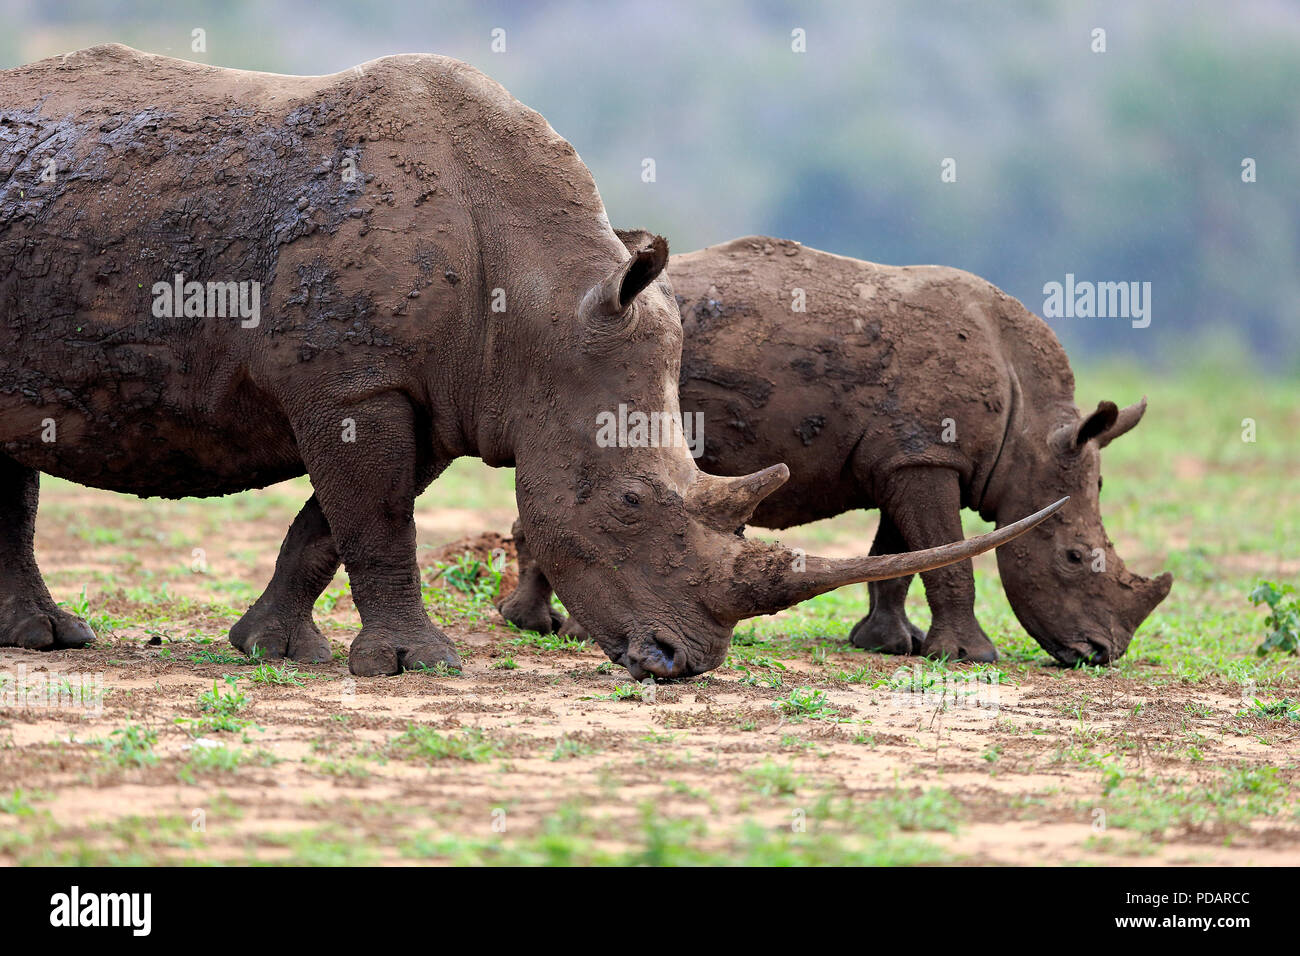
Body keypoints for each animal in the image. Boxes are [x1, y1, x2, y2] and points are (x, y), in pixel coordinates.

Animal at [0, 48, 1062, 680]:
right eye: (628, 504)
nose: (681, 662)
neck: (544, 303)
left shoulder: (433, 394)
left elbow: (332, 523)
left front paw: (277, 649)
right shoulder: (355, 379)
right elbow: (375, 517)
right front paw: (418, 666)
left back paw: (47, 640)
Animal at [504, 233, 1172, 666]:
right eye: (1074, 558)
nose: (1101, 653)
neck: (1030, 430)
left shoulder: (907, 456)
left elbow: (900, 555)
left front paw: (887, 644)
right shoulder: (927, 456)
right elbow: (946, 557)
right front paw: (970, 658)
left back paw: (540, 626)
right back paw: (570, 633)